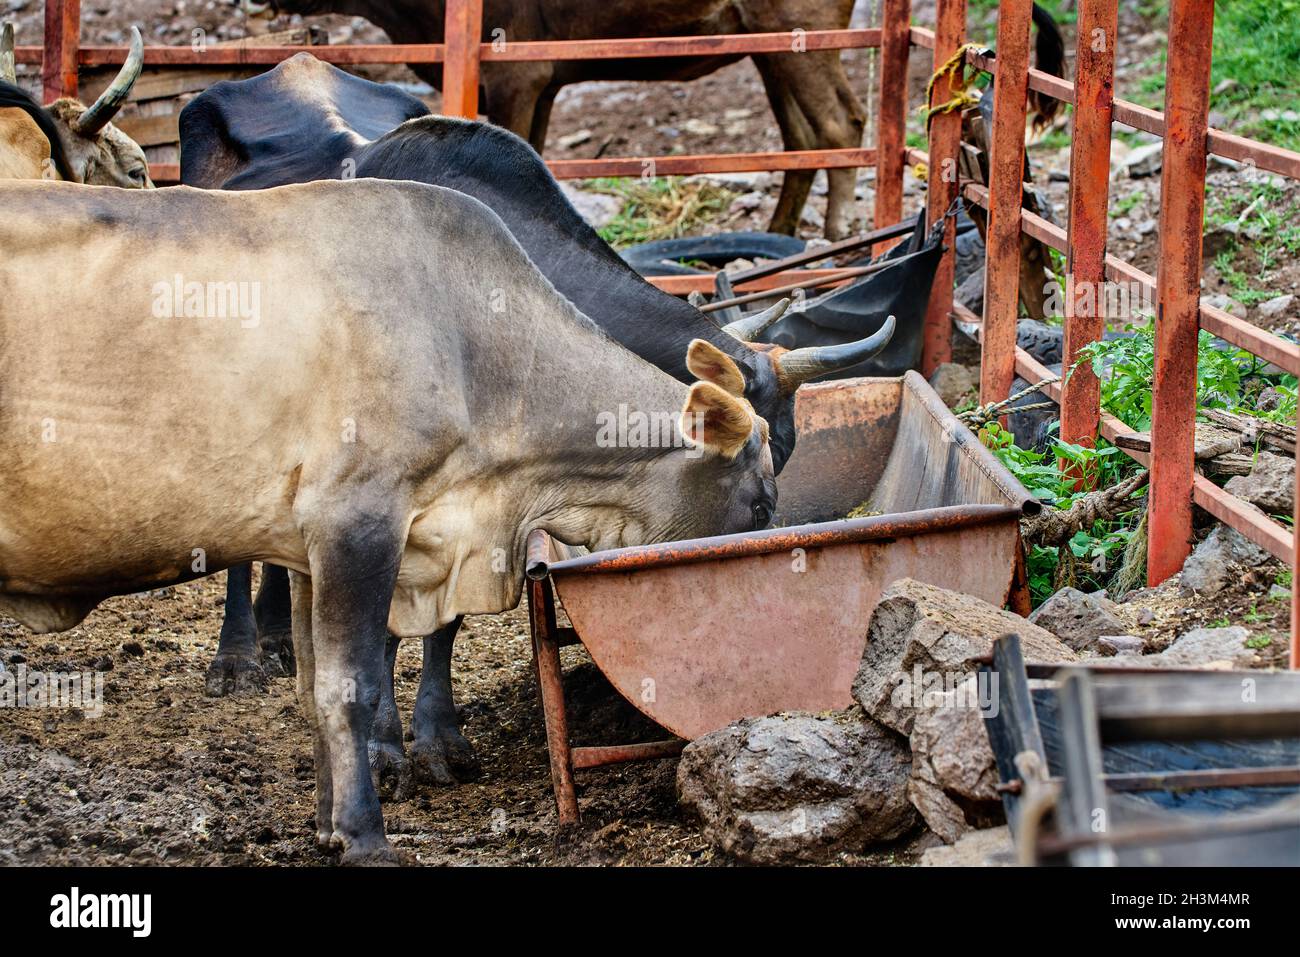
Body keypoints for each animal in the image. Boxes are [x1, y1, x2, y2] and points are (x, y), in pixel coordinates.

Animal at [0, 175, 795, 861]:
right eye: (760, 500)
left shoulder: (305, 552)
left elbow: (313, 687)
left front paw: (327, 824)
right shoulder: (355, 520)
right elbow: (347, 687)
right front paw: (364, 835)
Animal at [179, 53, 893, 791]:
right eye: (760, 491)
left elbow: (446, 620)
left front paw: (439, 738)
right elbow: (386, 626)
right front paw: (384, 749)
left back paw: (277, 636)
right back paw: (238, 656)